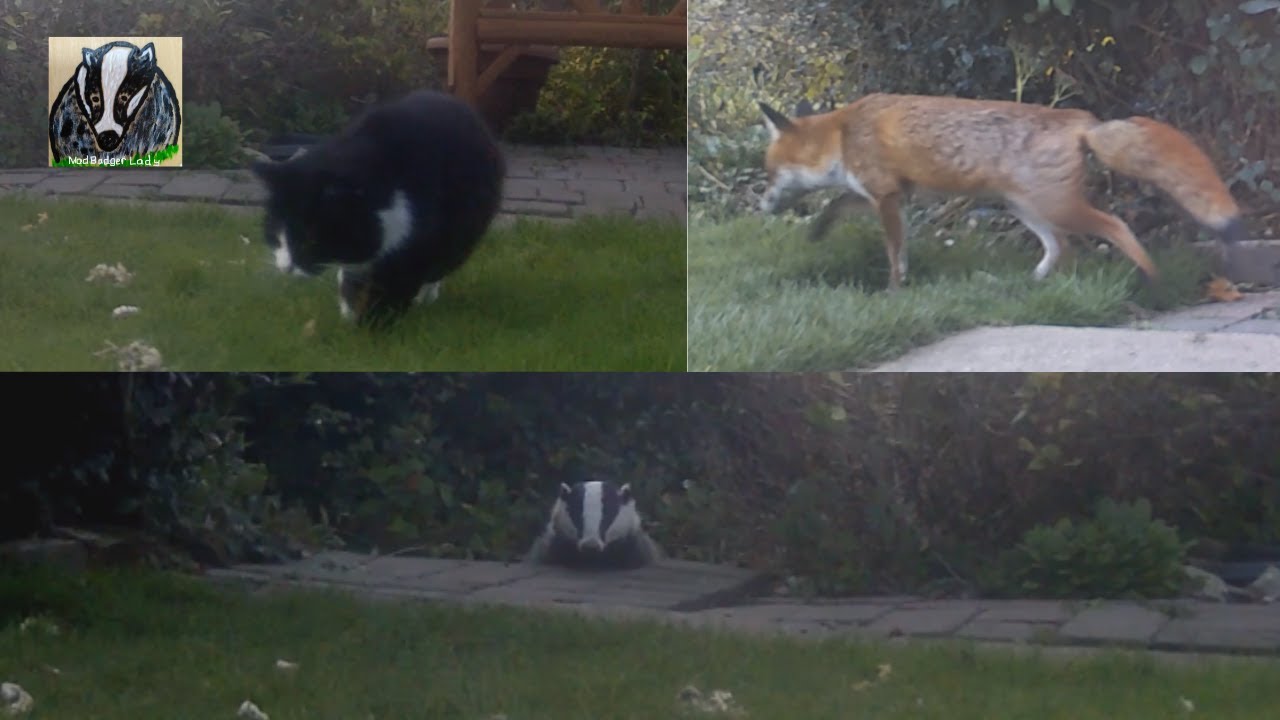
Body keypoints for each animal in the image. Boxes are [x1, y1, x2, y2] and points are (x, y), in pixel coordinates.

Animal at [757, 94, 1245, 290]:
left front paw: (893, 292)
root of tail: (1084, 120)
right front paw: (818, 231)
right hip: (1025, 208)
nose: (760, 205)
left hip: (1055, 206)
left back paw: (1152, 278)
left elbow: (894, 253)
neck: (843, 134)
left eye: (769, 173)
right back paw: (1027, 285)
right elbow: (839, 204)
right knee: (1061, 248)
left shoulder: (887, 196)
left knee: (1114, 225)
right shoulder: (892, 193)